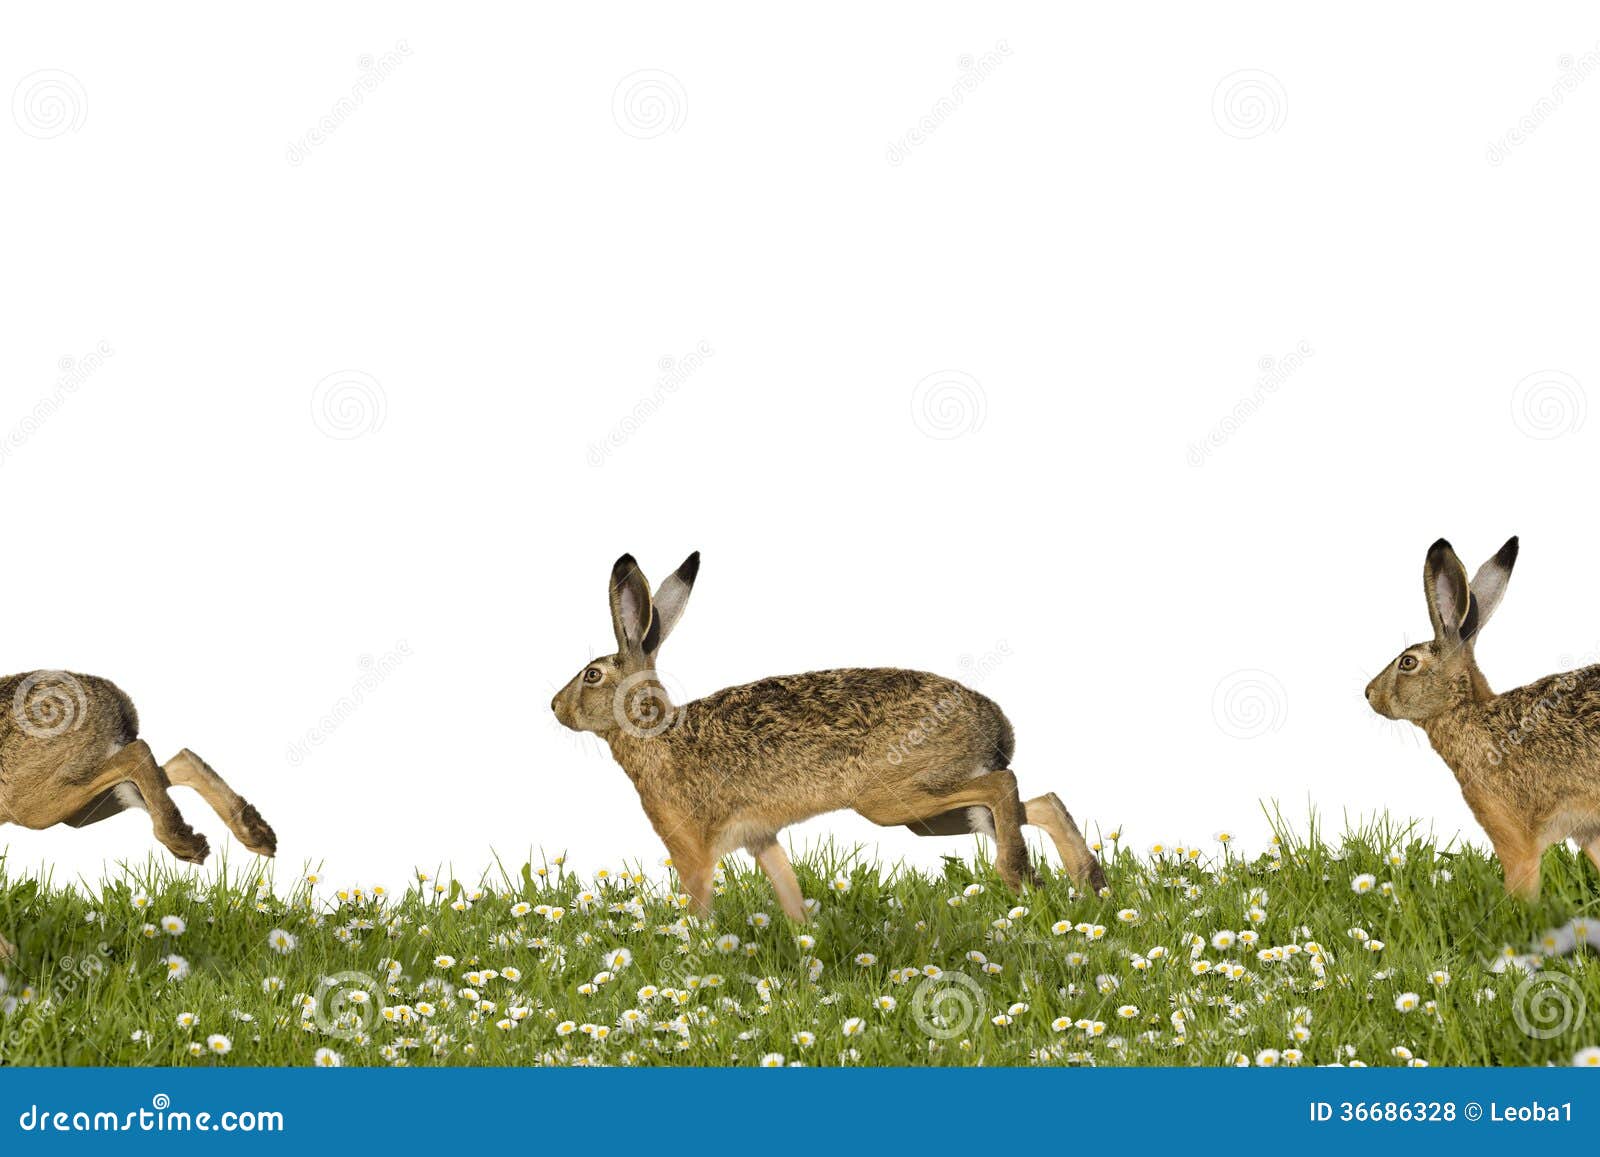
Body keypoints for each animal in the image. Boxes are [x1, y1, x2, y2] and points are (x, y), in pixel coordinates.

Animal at [0, 670, 276, 959]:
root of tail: (115, 700)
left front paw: (9, 956)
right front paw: (9, 954)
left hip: (33, 803)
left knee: (138, 753)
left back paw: (186, 842)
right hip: (85, 799)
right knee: (177, 762)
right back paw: (255, 833)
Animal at [551, 552, 1106, 922]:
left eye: (592, 676)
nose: (554, 707)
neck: (654, 732)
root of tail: (994, 723)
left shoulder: (690, 844)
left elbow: (699, 901)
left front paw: (698, 953)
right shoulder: (760, 837)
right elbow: (787, 888)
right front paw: (804, 947)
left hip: (893, 798)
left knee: (1004, 785)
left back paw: (1017, 874)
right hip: (935, 815)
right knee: (1039, 800)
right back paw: (1088, 883)